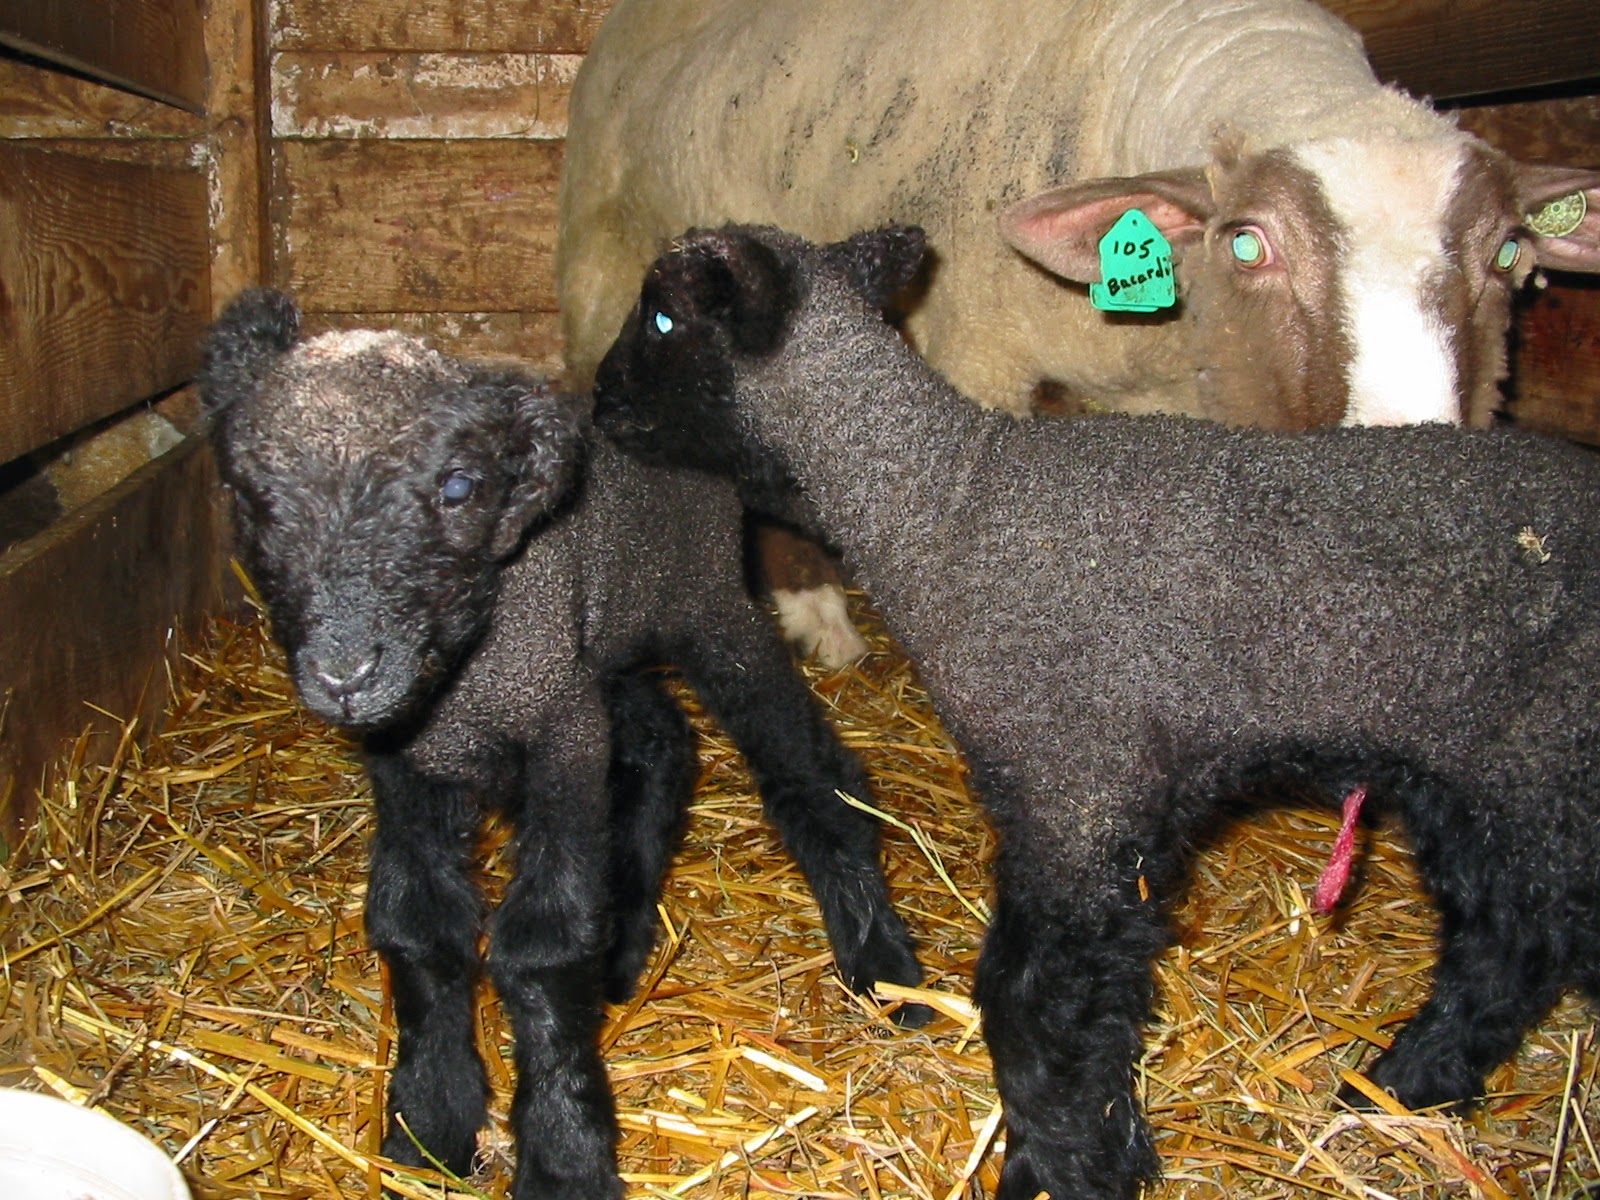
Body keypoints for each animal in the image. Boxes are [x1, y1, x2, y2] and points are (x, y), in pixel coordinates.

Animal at [197, 289, 928, 1198]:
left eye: (459, 484)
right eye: (252, 494)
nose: (344, 672)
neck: (465, 672)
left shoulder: (559, 736)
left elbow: (543, 945)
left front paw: (562, 1155)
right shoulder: (411, 763)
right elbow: (417, 925)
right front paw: (428, 1126)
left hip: (707, 607)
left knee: (811, 772)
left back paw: (888, 969)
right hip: (604, 647)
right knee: (663, 746)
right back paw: (623, 955)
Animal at [592, 223, 1600, 1200]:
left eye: (664, 319)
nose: (596, 400)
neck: (947, 507)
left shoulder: (1073, 787)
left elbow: (1034, 1002)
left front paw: (1062, 1167)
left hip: (1541, 770)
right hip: (1472, 777)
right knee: (1508, 943)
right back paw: (1398, 1086)